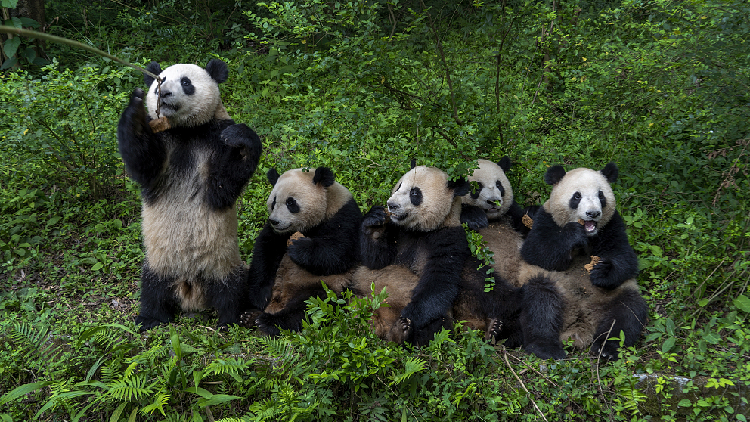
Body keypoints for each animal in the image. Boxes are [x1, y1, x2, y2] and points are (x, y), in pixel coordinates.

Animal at [117, 59, 262, 331]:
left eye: (186, 82)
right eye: (160, 80)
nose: (163, 93)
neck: (185, 131)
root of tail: (190, 290)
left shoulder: (214, 136)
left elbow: (223, 186)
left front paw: (240, 139)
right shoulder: (163, 141)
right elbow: (143, 164)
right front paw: (135, 107)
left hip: (222, 262)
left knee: (233, 288)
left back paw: (233, 319)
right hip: (159, 262)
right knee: (151, 288)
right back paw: (150, 318)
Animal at [243, 167, 362, 336]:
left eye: (290, 202)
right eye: (273, 202)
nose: (275, 221)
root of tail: (279, 302)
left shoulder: (344, 217)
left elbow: (339, 252)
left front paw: (298, 247)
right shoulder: (277, 233)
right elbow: (264, 253)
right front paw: (261, 296)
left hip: (327, 285)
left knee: (311, 305)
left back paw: (269, 322)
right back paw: (249, 316)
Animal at [353, 166, 565, 359]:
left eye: (415, 193)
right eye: (398, 186)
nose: (392, 205)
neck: (418, 230)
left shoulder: (448, 239)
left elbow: (439, 282)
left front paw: (410, 314)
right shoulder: (398, 233)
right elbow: (377, 261)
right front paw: (375, 222)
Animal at [519, 163, 648, 359]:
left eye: (601, 195)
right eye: (577, 196)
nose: (593, 213)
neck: (588, 235)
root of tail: (581, 324)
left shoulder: (611, 225)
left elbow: (625, 256)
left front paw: (602, 272)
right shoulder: (545, 219)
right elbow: (536, 250)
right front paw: (573, 234)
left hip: (613, 294)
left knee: (626, 312)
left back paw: (606, 349)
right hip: (553, 286)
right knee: (540, 305)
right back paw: (547, 348)